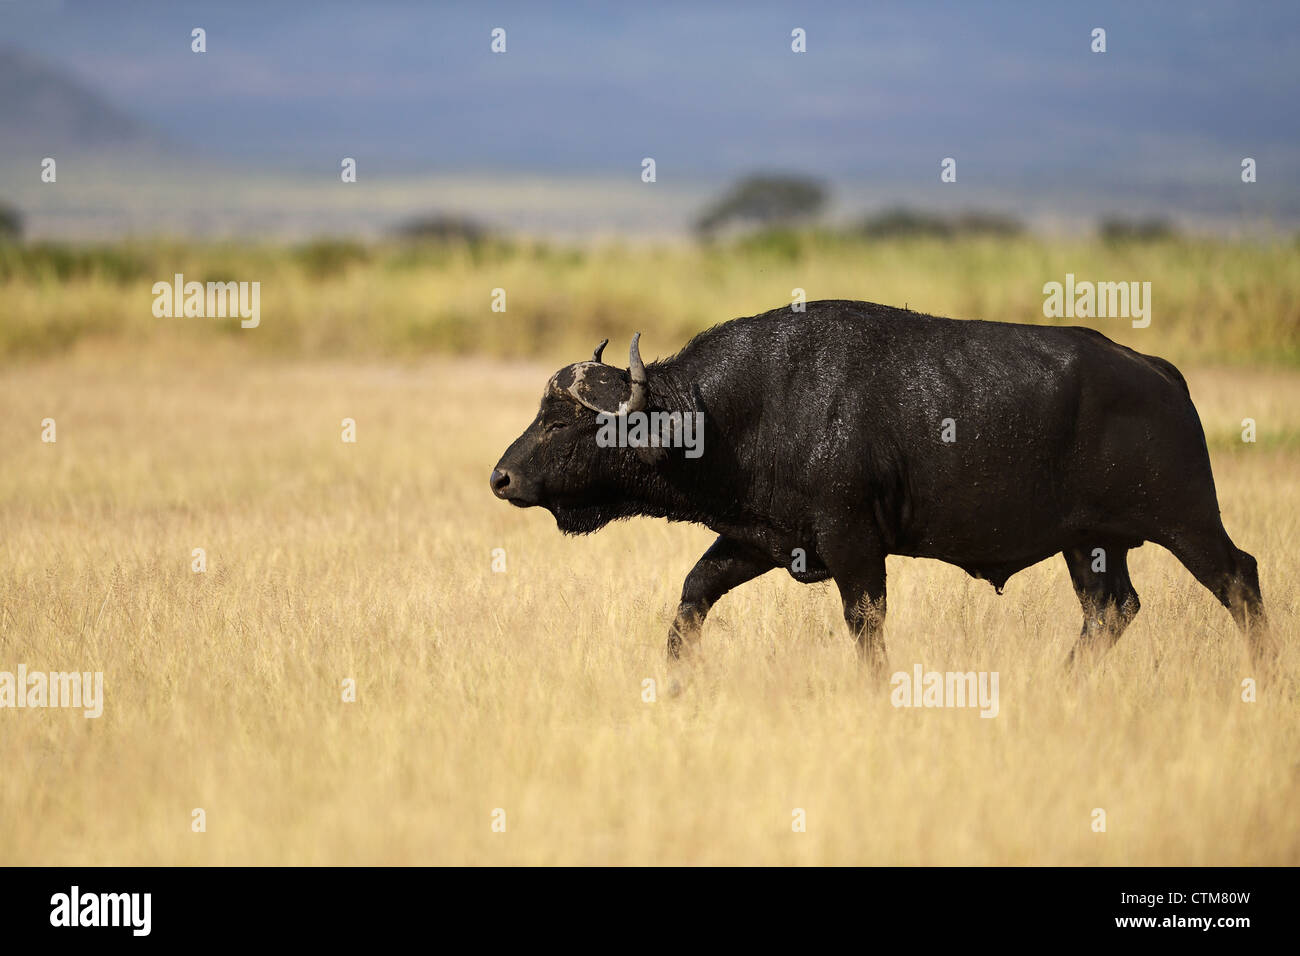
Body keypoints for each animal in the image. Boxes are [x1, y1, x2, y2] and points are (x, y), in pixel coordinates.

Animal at [490, 300, 1267, 672]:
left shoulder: (854, 549)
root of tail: (1160, 374)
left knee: (1240, 578)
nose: (501, 477)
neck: (737, 410)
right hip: (1091, 547)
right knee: (1112, 612)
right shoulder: (758, 542)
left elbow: (867, 628)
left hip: (1188, 525)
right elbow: (691, 598)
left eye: (562, 422)